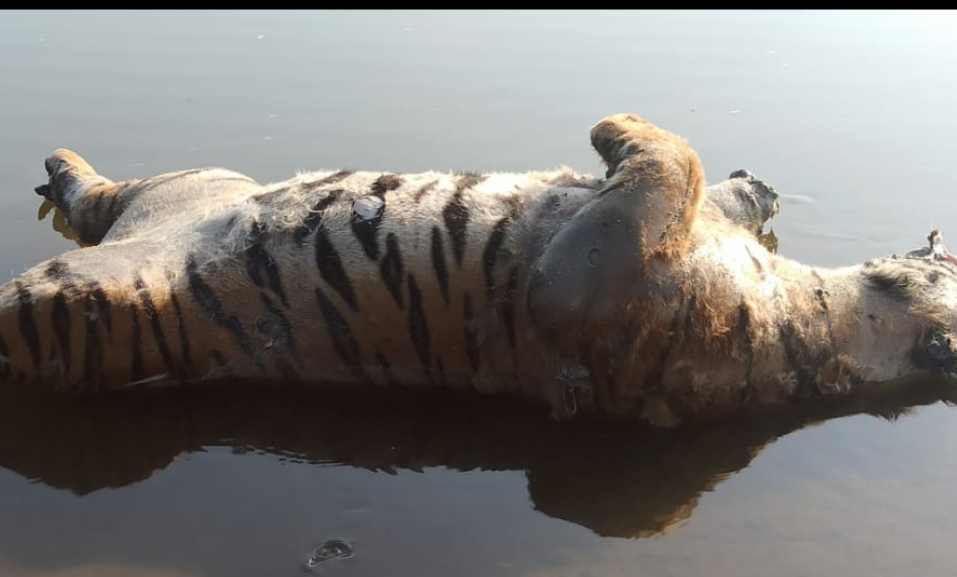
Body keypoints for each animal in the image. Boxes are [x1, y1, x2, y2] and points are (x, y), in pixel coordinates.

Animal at [1, 112, 956, 427]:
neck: (822, 322)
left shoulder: (584, 275)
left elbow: (667, 160)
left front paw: (615, 127)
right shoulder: (689, 233)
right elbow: (703, 182)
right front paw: (752, 183)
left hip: (109, 285)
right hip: (191, 185)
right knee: (89, 190)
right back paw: (55, 167)